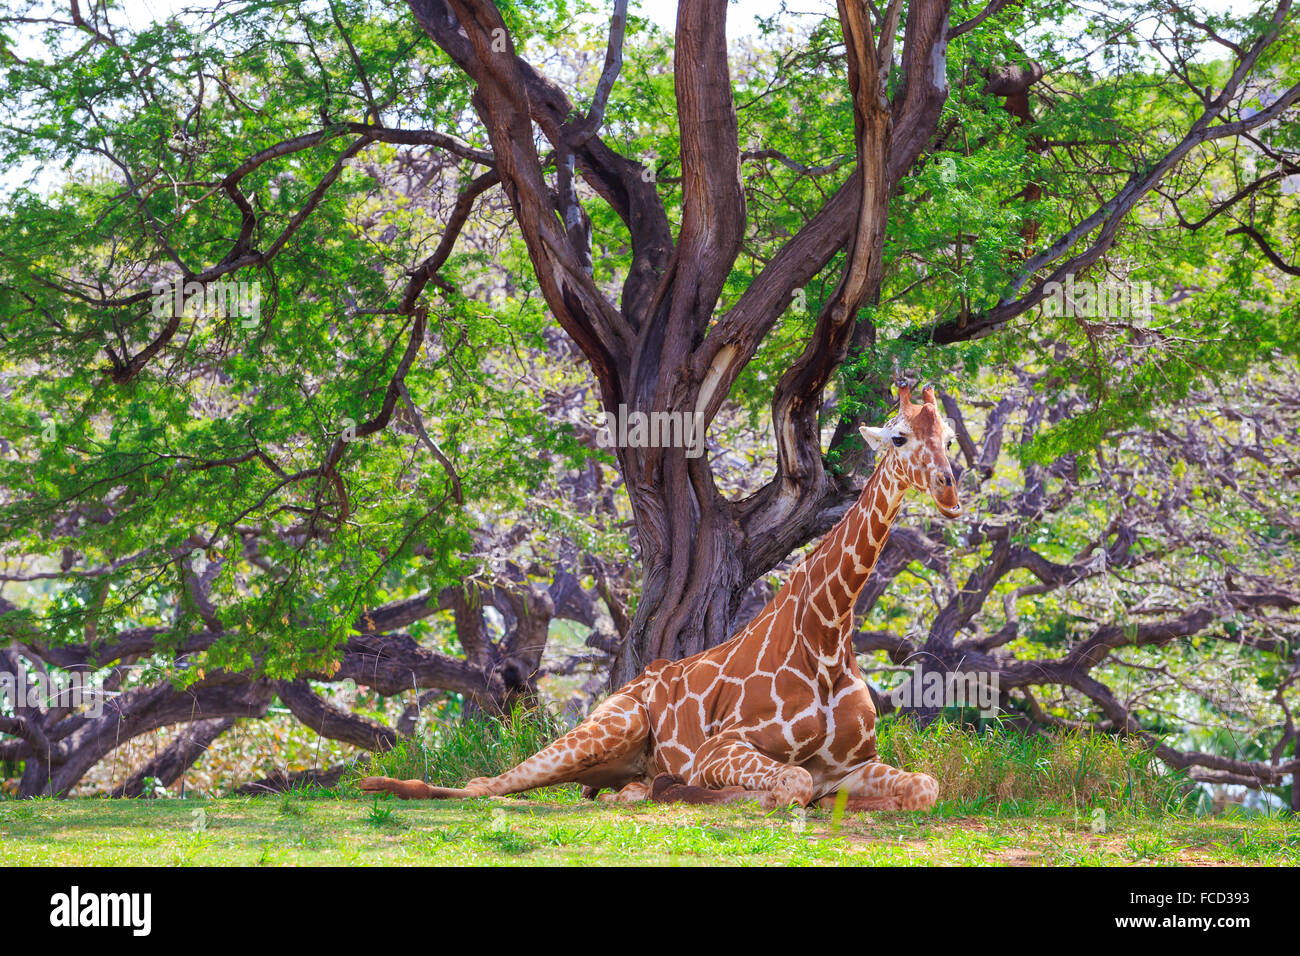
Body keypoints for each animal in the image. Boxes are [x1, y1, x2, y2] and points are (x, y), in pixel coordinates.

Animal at [361, 383, 962, 811]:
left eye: (951, 438)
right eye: (900, 437)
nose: (950, 490)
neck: (827, 634)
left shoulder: (852, 766)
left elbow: (926, 787)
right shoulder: (722, 747)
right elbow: (790, 783)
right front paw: (702, 791)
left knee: (601, 789)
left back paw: (635, 790)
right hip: (611, 724)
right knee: (483, 785)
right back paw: (378, 785)